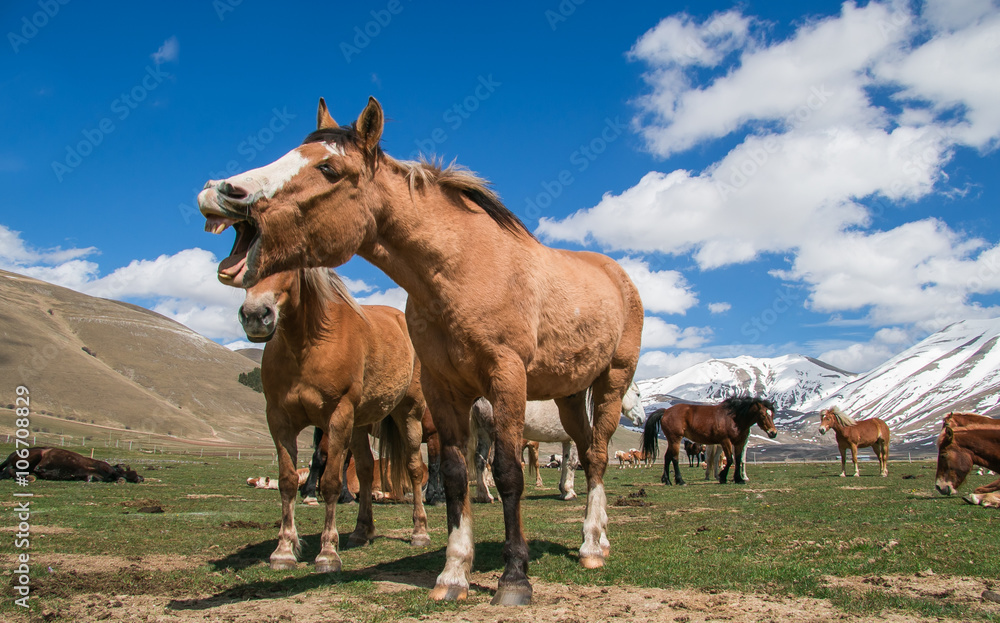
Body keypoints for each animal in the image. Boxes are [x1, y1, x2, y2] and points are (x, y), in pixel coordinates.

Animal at [238, 267, 431, 573]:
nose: (256, 314)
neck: (306, 345)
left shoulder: (337, 416)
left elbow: (330, 481)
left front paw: (328, 552)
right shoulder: (279, 420)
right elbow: (287, 481)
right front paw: (284, 550)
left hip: (409, 414)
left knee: (413, 468)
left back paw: (419, 532)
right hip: (360, 423)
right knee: (365, 469)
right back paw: (362, 531)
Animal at [472, 382, 644, 502]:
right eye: (638, 394)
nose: (641, 419)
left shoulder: (566, 441)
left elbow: (566, 463)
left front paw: (564, 490)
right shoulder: (575, 441)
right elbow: (572, 463)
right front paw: (570, 493)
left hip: (484, 434)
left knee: (480, 461)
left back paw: (484, 495)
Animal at [641, 397, 777, 485]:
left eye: (772, 415)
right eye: (763, 415)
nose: (773, 433)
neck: (734, 418)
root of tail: (666, 412)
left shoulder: (739, 443)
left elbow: (738, 460)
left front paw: (739, 479)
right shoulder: (725, 441)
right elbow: (730, 459)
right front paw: (722, 477)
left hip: (672, 440)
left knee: (667, 457)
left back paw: (667, 480)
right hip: (675, 439)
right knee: (674, 458)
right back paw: (680, 481)